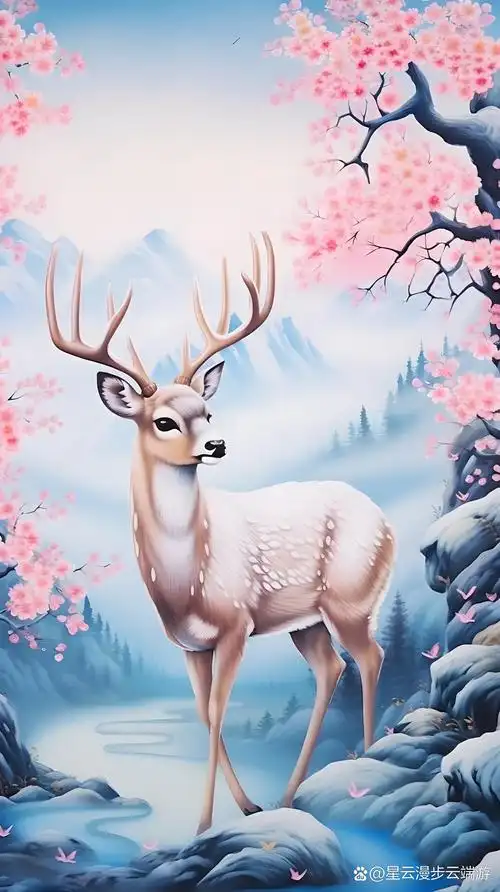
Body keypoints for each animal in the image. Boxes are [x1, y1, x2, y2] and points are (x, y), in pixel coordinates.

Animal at [44, 232, 395, 834]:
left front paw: (205, 823)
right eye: (164, 420)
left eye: (206, 411)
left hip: (350, 598)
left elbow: (215, 711)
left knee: (370, 658)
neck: (189, 577)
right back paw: (287, 794)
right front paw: (245, 806)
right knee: (330, 669)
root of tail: (390, 526)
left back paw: (366, 758)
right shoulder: (190, 642)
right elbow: (203, 711)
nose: (217, 444)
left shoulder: (237, 623)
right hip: (306, 621)